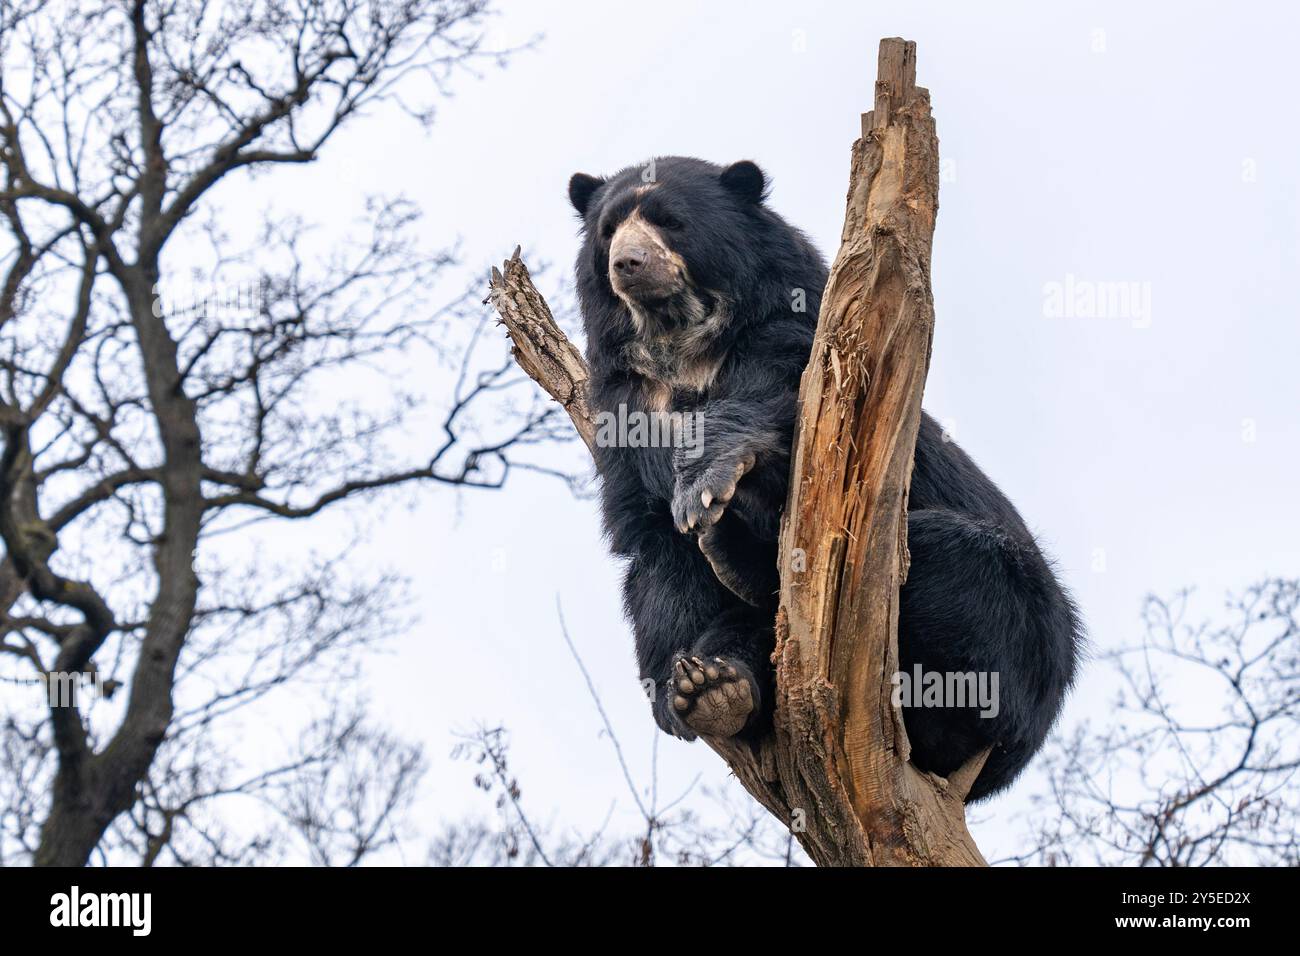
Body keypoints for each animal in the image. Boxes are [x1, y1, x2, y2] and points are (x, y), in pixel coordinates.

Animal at [568, 155, 1081, 801]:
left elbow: (777, 411)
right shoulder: (624, 418)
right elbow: (656, 558)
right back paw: (717, 686)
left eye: (671, 221)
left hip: (1022, 634)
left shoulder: (805, 348)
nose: (627, 265)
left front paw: (711, 485)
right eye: (609, 231)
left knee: (957, 563)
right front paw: (682, 688)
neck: (684, 350)